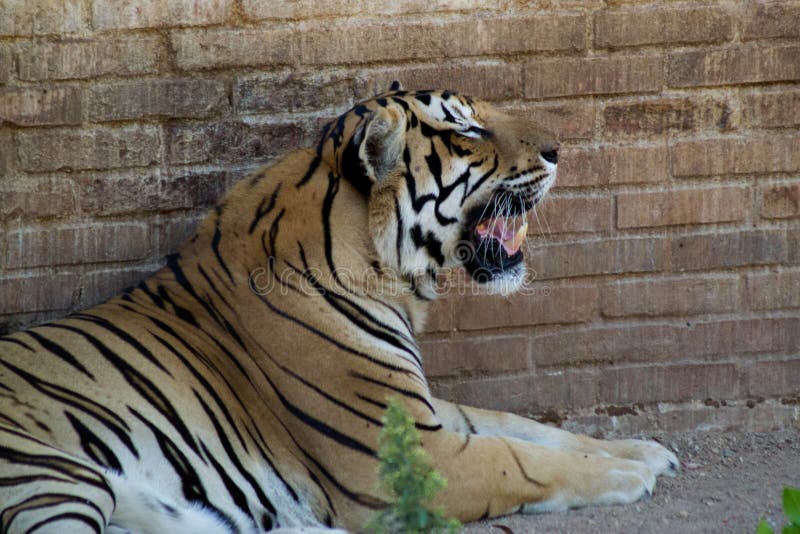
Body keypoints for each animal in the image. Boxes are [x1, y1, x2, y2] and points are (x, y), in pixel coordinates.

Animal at [0, 83, 678, 533]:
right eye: (466, 130)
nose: (560, 149)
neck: (389, 274)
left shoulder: (420, 410)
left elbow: (526, 427)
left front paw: (643, 450)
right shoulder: (407, 453)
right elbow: (522, 459)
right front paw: (626, 476)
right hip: (57, 480)